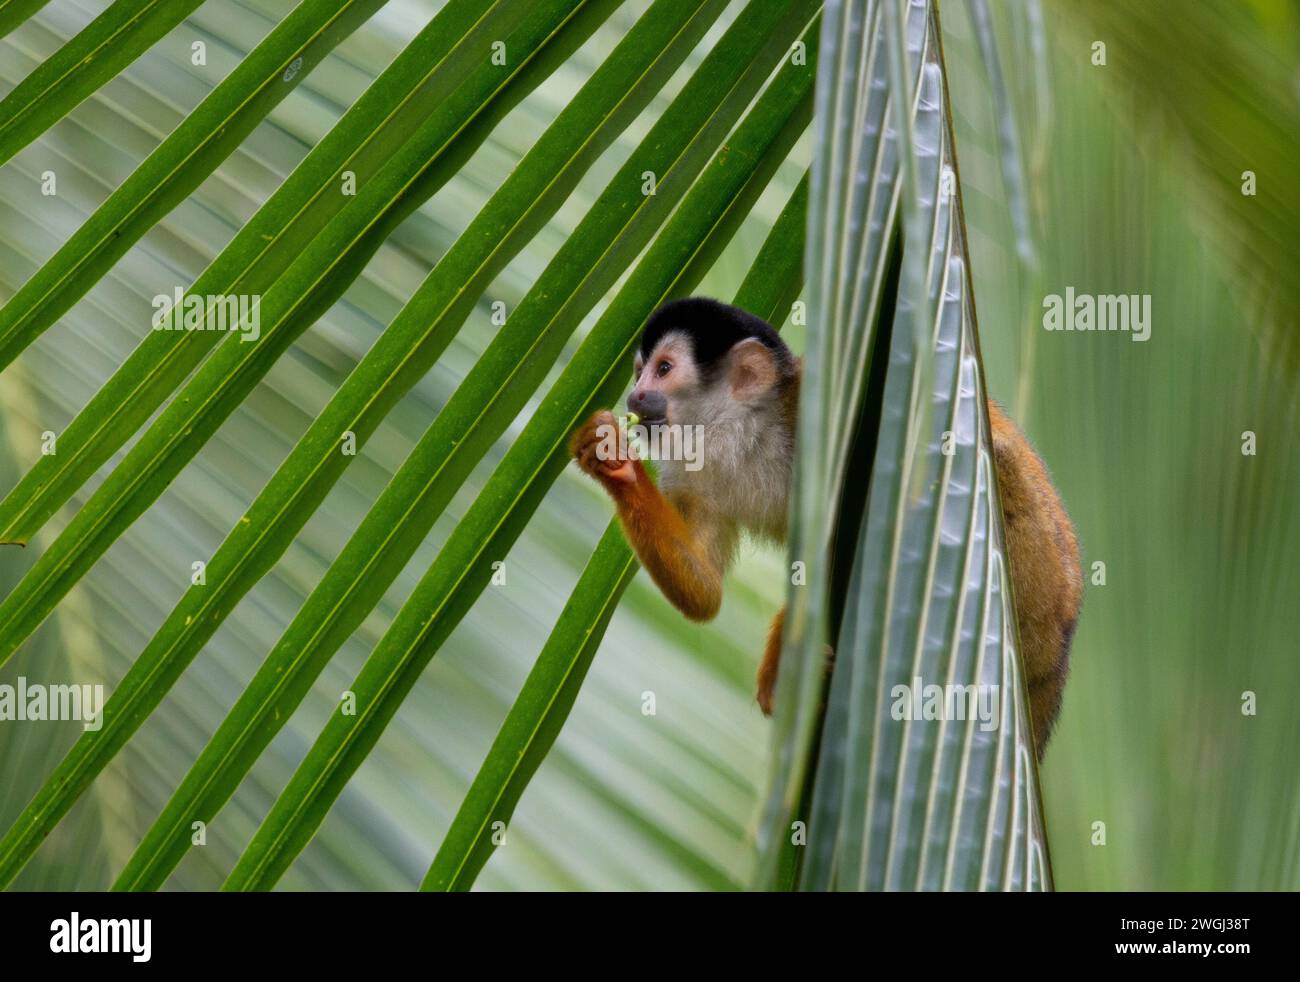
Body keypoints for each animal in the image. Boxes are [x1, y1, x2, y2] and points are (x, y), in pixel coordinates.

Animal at [569, 297, 1081, 759]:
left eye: (664, 368)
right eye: (639, 370)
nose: (635, 395)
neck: (743, 431)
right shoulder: (687, 468)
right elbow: (705, 592)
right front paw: (612, 460)